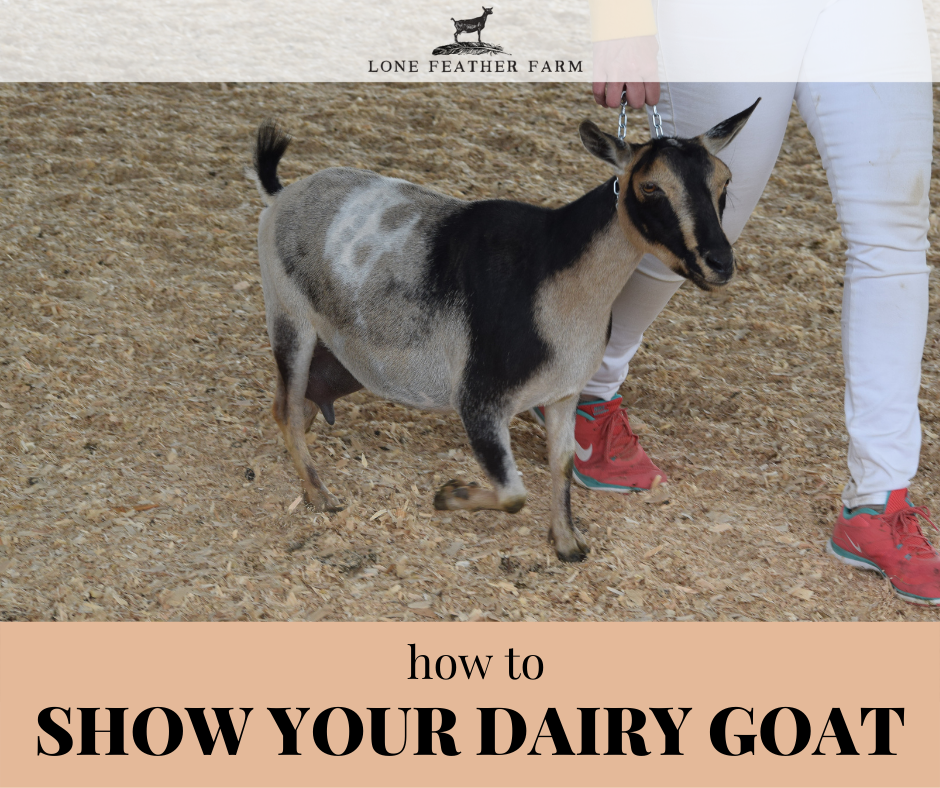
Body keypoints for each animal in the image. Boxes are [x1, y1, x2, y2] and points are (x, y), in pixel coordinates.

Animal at [249, 99, 759, 562]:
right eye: (650, 186)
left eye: (725, 180)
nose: (719, 263)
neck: (552, 273)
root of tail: (281, 194)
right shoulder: (480, 399)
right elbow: (515, 494)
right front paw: (450, 496)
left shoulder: (563, 393)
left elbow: (562, 463)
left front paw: (567, 543)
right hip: (289, 316)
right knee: (286, 408)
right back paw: (320, 495)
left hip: (340, 356)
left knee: (300, 403)